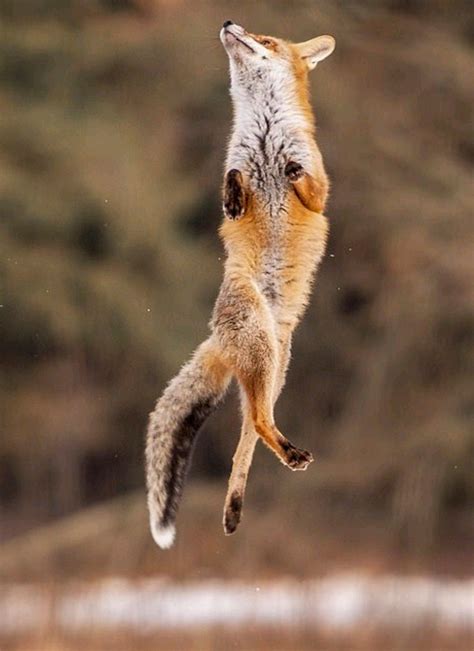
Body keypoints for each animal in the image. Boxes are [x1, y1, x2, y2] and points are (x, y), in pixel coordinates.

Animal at [145, 20, 335, 549]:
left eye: (266, 41)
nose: (229, 24)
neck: (267, 136)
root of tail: (220, 337)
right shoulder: (236, 167)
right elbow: (231, 180)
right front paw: (234, 192)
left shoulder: (319, 188)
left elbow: (310, 186)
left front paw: (291, 171)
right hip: (261, 354)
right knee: (256, 424)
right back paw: (270, 473)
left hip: (273, 370)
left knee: (250, 432)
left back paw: (244, 499)